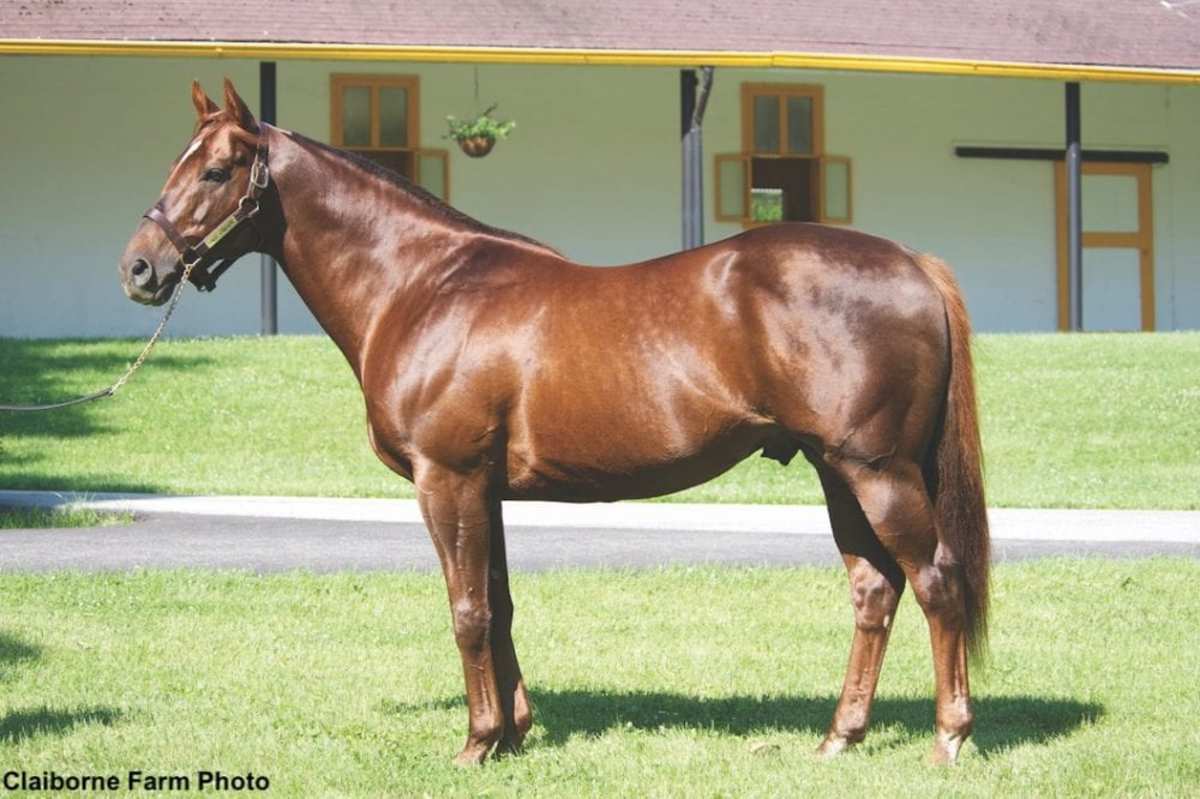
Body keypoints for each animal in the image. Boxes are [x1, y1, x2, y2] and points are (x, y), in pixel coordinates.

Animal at [118, 79, 990, 766]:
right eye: (174, 163)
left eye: (218, 169)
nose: (139, 267)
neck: (423, 284)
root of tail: (912, 263)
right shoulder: (486, 489)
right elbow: (498, 604)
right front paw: (512, 731)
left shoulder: (447, 480)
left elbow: (466, 610)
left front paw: (475, 743)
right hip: (837, 468)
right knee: (875, 589)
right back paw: (840, 735)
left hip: (875, 469)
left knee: (935, 581)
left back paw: (949, 736)